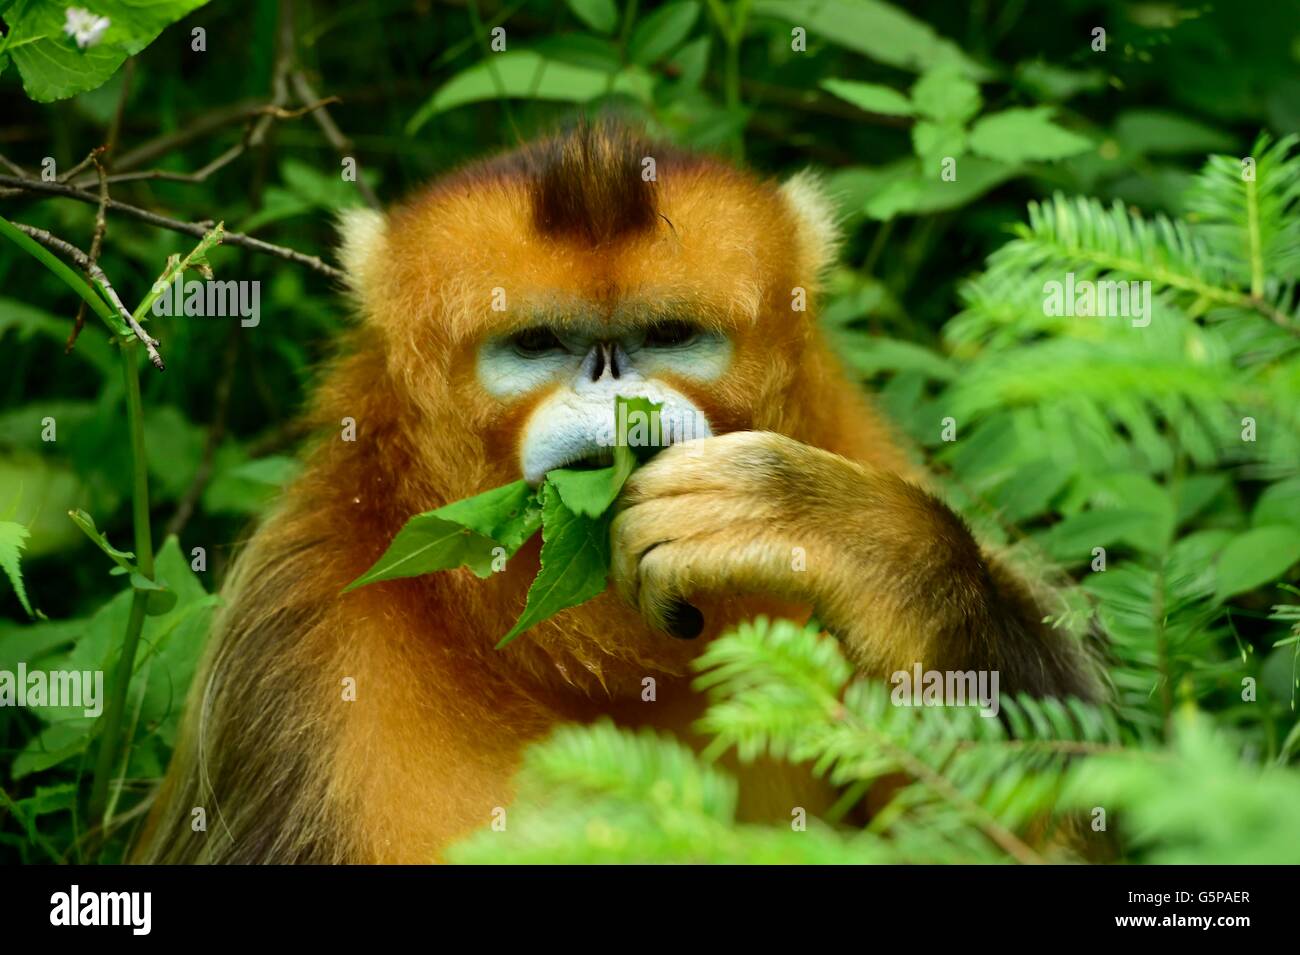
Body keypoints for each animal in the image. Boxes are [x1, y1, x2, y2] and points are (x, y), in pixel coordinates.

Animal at [134, 122, 1103, 864]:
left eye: (668, 332)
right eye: (537, 343)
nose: (614, 387)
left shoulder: (853, 441)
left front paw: (838, 533)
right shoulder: (298, 633)